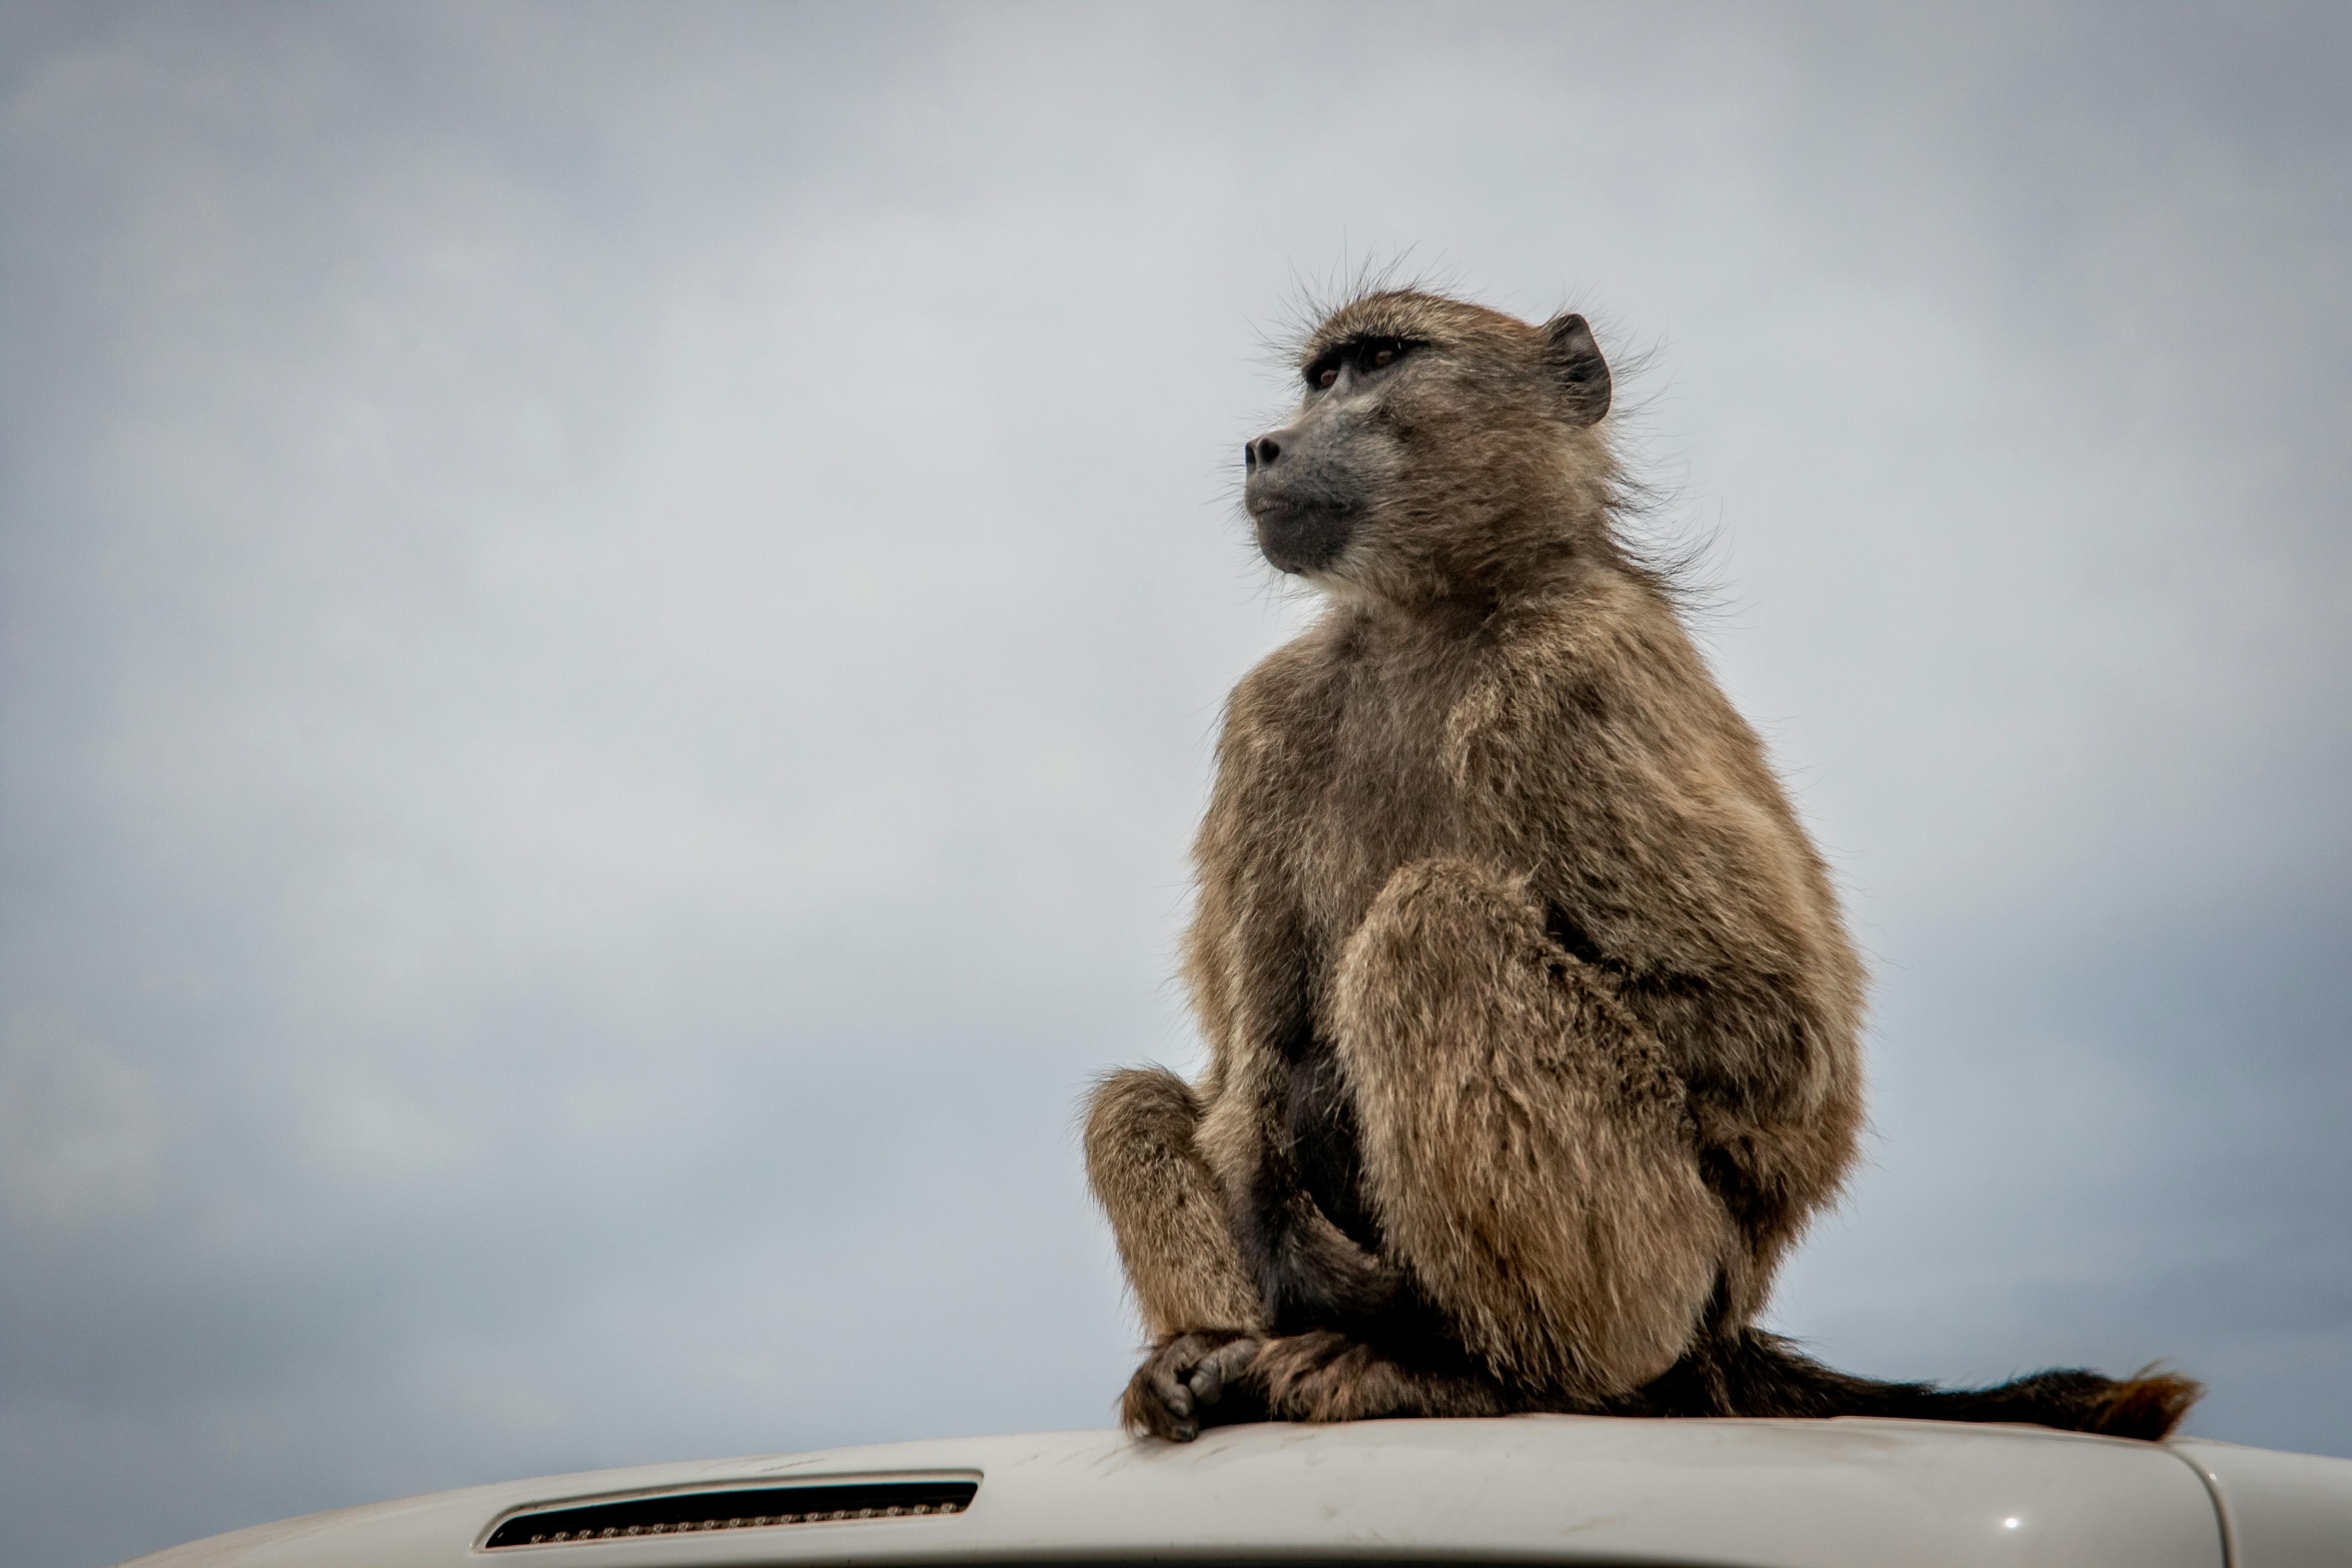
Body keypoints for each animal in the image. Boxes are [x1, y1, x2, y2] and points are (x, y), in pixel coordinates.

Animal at [1083, 287, 2200, 1444]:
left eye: (1381, 360)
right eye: (1318, 377)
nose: (1266, 445)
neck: (1431, 612)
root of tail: (1723, 1329)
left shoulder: (1572, 676)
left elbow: (1777, 1036)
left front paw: (1322, 1128)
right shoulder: (1267, 722)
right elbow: (1243, 1062)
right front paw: (1271, 1175)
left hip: (1664, 1268)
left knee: (1433, 926)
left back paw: (1474, 1374)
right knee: (1136, 1102)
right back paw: (1211, 1359)